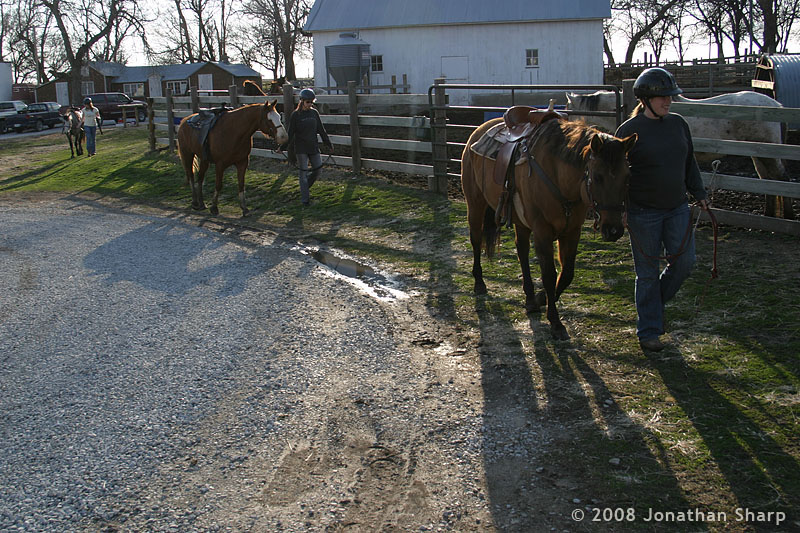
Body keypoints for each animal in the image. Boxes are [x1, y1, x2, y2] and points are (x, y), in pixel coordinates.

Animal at [461, 116, 637, 340]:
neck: (559, 178)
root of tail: (478, 131)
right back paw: (479, 282)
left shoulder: (572, 231)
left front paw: (539, 299)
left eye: (628, 177)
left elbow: (567, 273)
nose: (613, 230)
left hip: (520, 222)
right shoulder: (542, 231)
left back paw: (529, 297)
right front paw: (555, 322)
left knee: (522, 251)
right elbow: (549, 275)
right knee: (476, 240)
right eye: (597, 176)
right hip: (475, 204)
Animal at [566, 90, 793, 219]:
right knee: (767, 181)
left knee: (781, 180)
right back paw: (769, 214)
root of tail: (776, 105)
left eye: (568, 106)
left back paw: (788, 217)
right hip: (758, 153)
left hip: (768, 152)